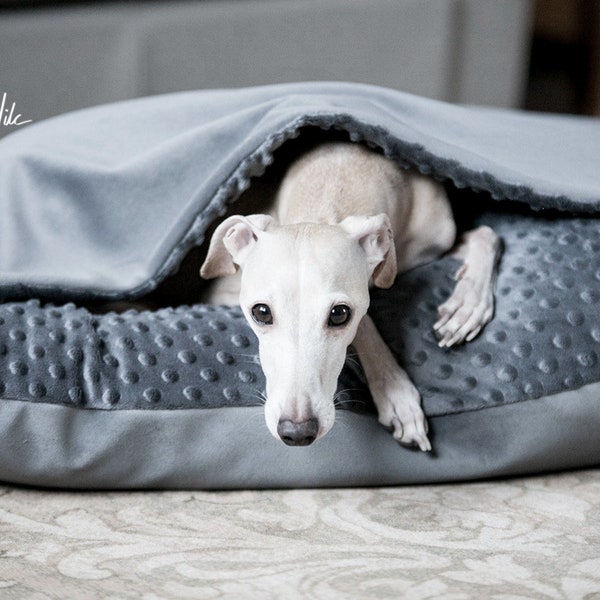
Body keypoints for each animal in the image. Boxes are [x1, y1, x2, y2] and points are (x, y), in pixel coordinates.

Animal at [202, 142, 502, 450]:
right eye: (261, 312)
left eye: (339, 314)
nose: (297, 431)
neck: (337, 179)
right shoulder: (219, 294)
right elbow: (366, 322)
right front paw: (396, 394)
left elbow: (487, 235)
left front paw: (468, 306)